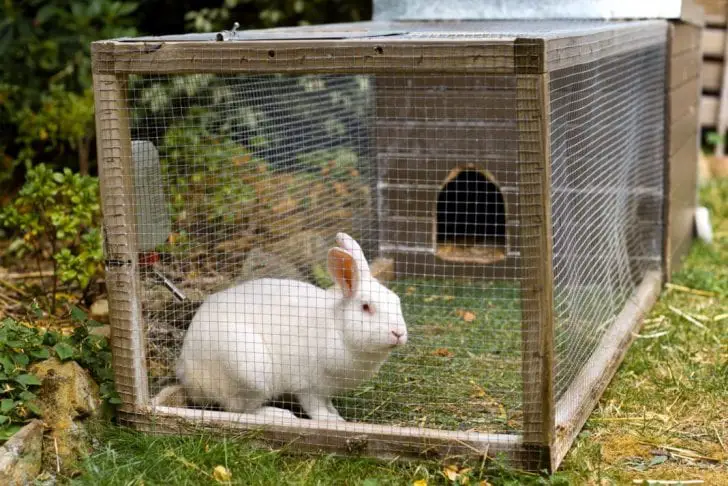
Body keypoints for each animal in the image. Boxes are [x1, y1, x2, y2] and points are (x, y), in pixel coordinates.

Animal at [175, 232, 408, 422]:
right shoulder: (308, 386)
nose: (399, 333)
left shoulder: (326, 390)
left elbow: (328, 403)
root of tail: (187, 372)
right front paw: (333, 421)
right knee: (242, 409)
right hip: (249, 371)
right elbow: (315, 407)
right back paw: (280, 414)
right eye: (366, 307)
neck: (339, 329)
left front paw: (335, 414)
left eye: (397, 301)